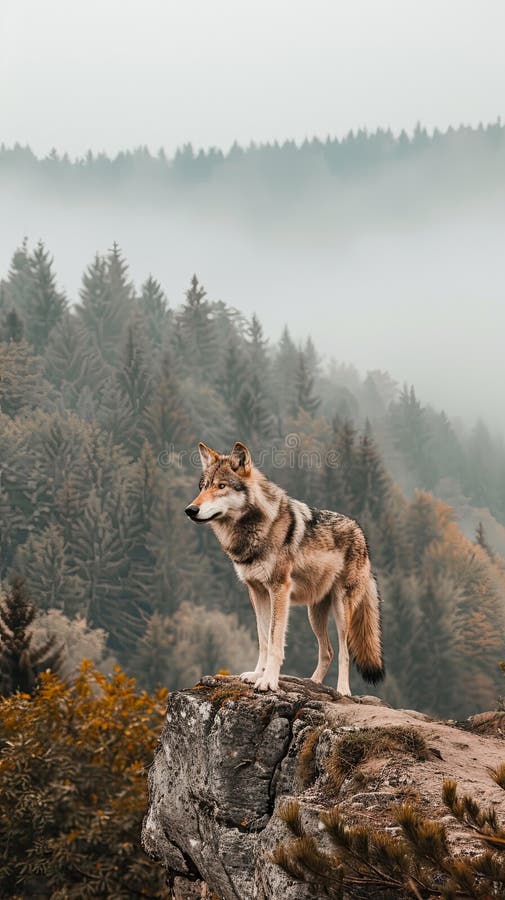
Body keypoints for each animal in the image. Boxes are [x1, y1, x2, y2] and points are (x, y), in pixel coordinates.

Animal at [185, 441, 384, 695]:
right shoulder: (257, 591)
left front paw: (268, 680)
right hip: (314, 613)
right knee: (327, 651)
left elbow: (274, 640)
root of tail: (361, 533)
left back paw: (342, 690)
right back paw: (313, 683)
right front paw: (256, 674)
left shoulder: (279, 589)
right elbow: (263, 638)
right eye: (203, 487)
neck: (255, 531)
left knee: (344, 652)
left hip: (341, 608)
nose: (190, 510)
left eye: (221, 486)